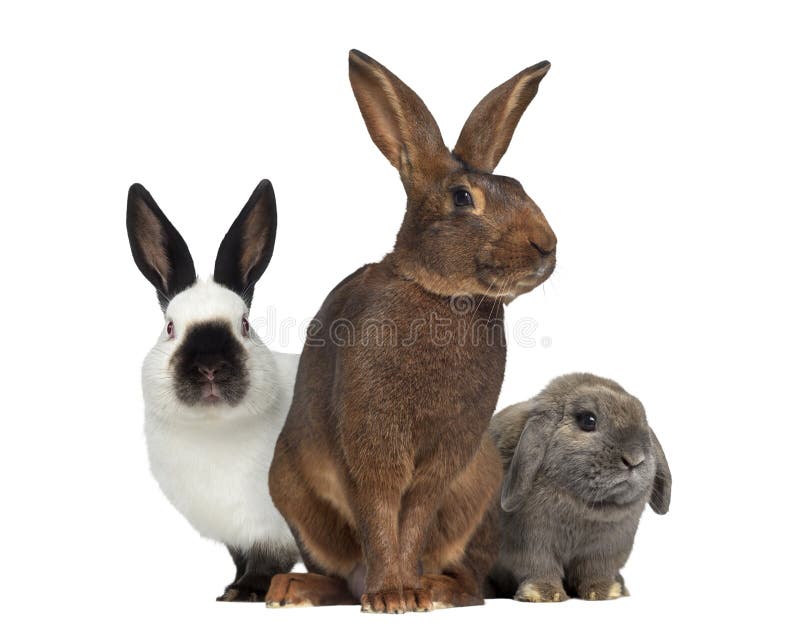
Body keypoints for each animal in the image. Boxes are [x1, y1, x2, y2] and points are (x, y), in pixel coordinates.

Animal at [126, 180, 299, 601]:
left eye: (245, 325)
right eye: (170, 327)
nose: (209, 367)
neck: (213, 427)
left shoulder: (273, 529)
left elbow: (268, 564)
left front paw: (247, 592)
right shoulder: (237, 533)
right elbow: (241, 559)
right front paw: (230, 589)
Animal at [266, 50, 556, 614]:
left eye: (519, 188)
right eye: (463, 198)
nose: (547, 245)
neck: (441, 293)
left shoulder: (447, 455)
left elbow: (415, 515)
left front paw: (407, 593)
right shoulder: (370, 442)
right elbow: (380, 510)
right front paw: (388, 597)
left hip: (481, 488)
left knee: (472, 583)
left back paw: (436, 588)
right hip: (292, 490)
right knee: (338, 572)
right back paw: (294, 590)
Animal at [488, 373, 672, 602]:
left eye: (643, 421)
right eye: (588, 420)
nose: (635, 458)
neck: (586, 507)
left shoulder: (605, 548)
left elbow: (595, 570)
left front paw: (604, 592)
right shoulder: (529, 540)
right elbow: (538, 566)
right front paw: (545, 594)